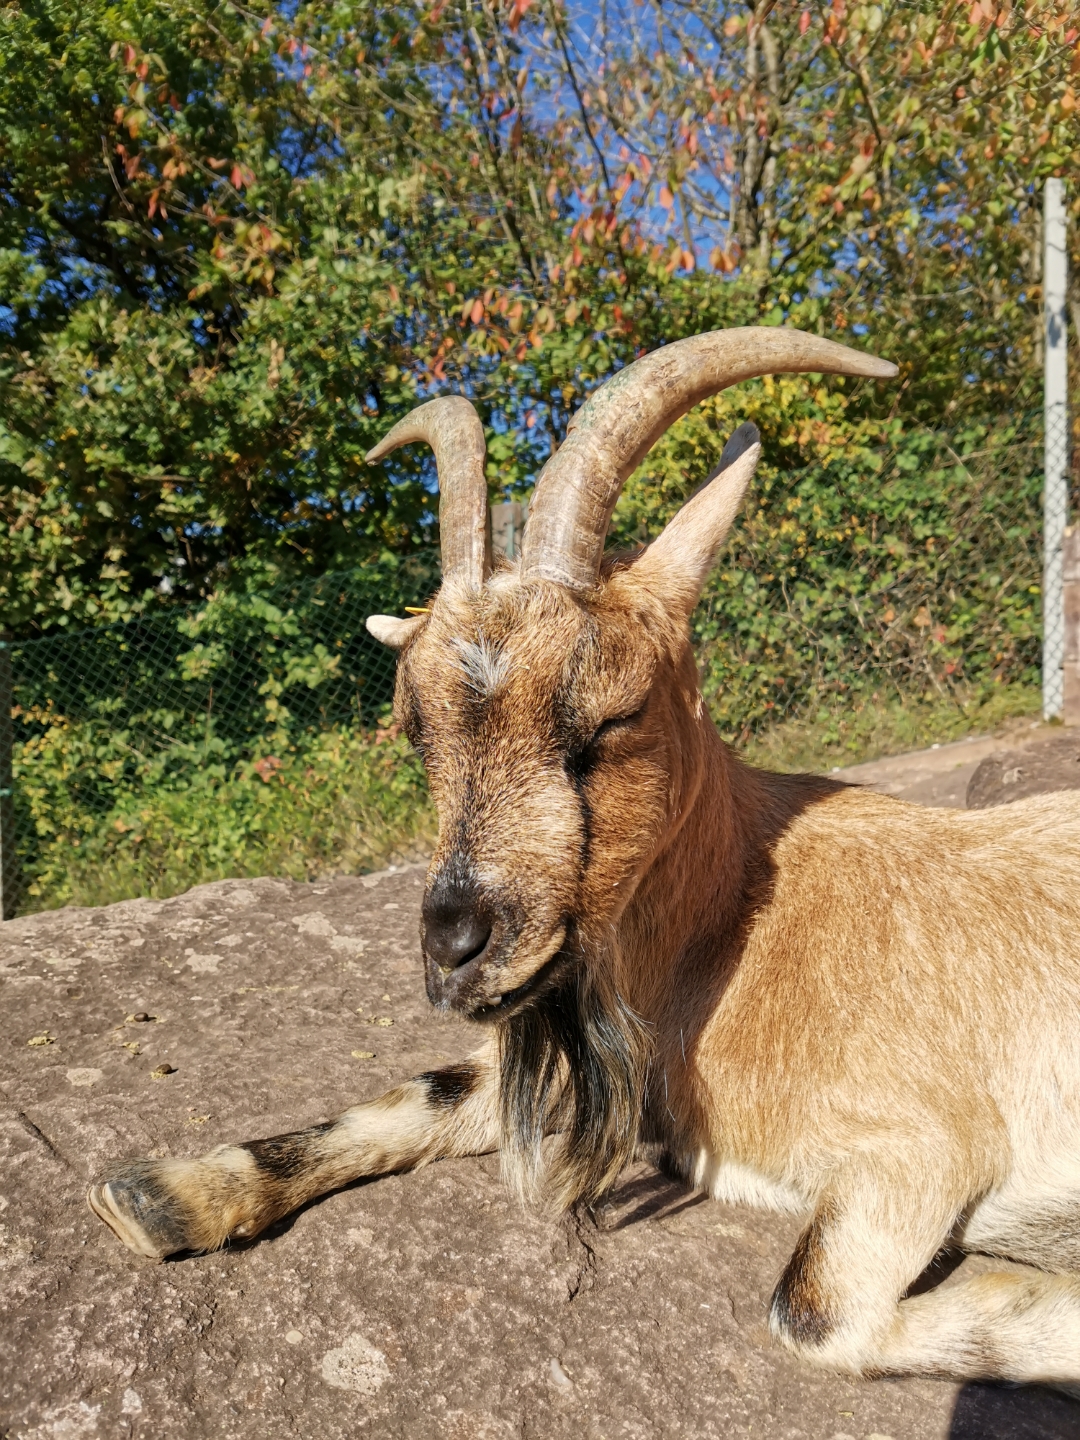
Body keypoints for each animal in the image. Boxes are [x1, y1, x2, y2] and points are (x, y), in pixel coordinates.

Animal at [90, 327, 1080, 1394]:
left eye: (608, 720)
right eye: (417, 730)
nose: (455, 946)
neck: (734, 932)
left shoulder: (924, 1144)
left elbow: (811, 1312)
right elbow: (428, 1091)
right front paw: (161, 1194)